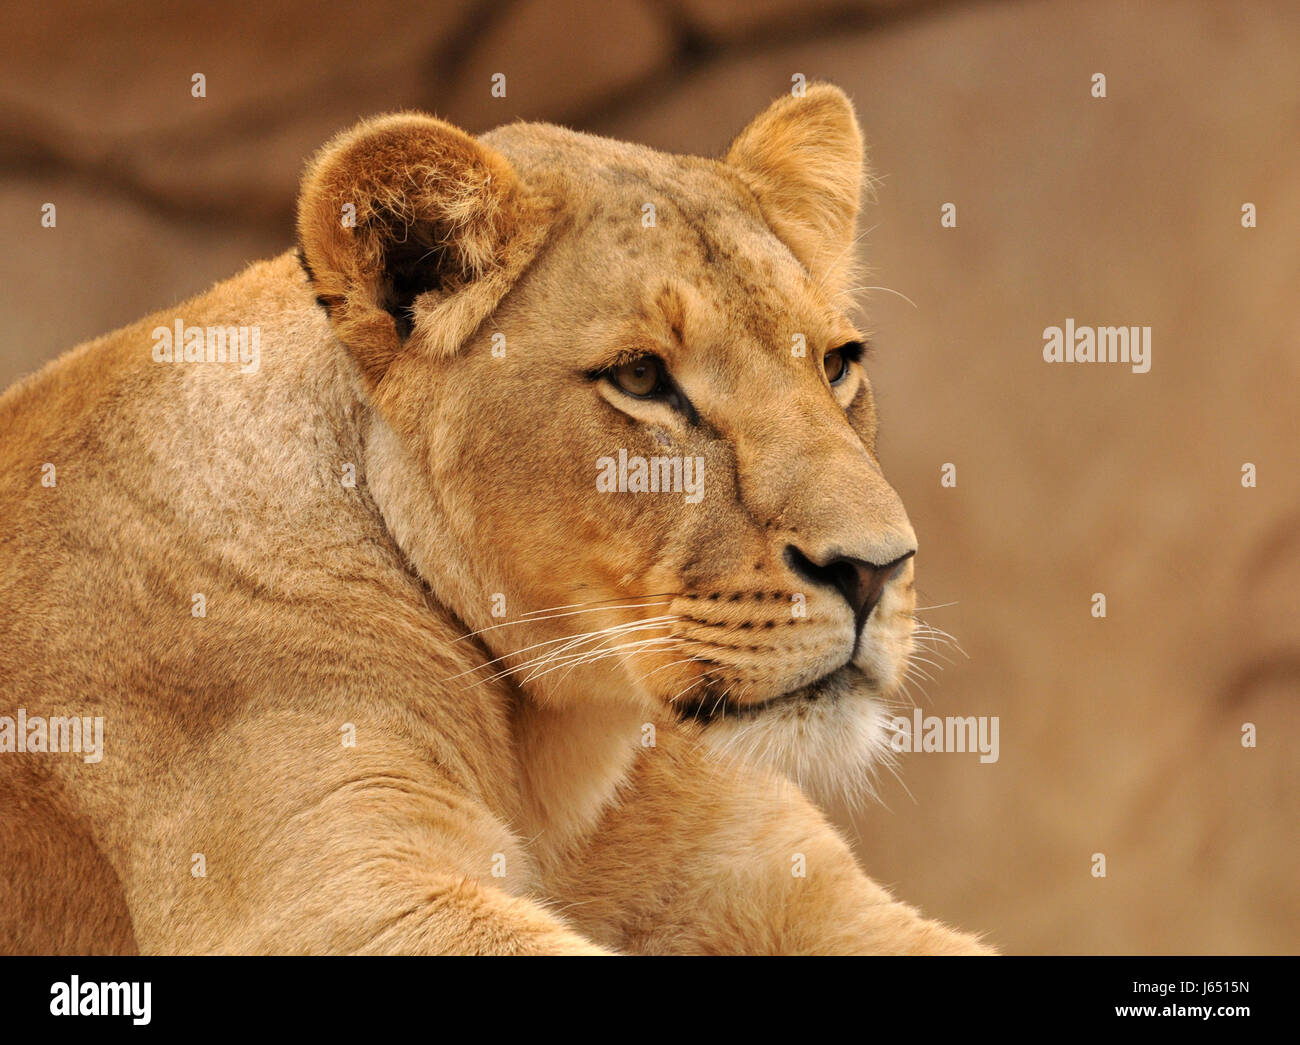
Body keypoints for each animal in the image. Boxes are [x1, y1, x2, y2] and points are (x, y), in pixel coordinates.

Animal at [0, 84, 992, 955]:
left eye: (836, 363)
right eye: (641, 377)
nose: (876, 569)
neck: (559, 749)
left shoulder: (774, 877)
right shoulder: (337, 893)